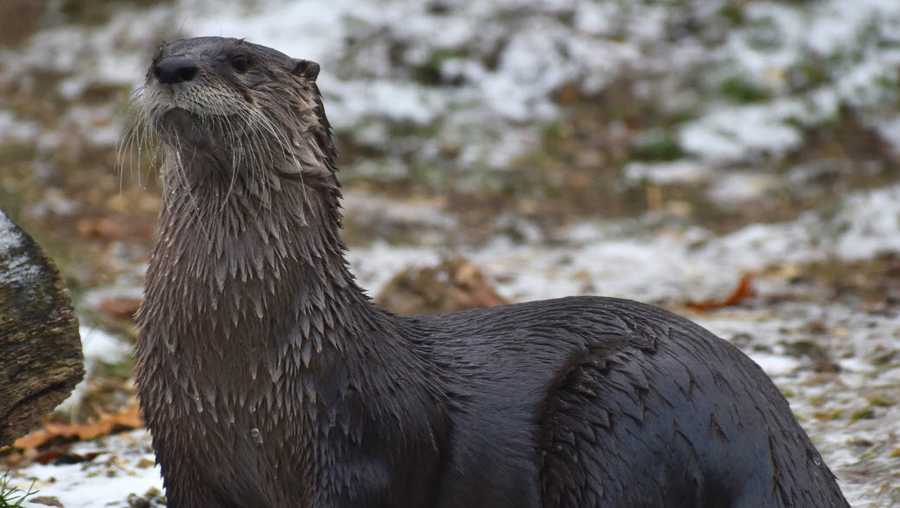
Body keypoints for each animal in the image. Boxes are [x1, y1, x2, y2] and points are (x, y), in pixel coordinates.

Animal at [133, 37, 849, 508]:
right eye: (160, 50)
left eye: (243, 63)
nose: (171, 67)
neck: (239, 370)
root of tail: (782, 437)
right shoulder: (183, 455)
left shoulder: (358, 445)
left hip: (626, 403)